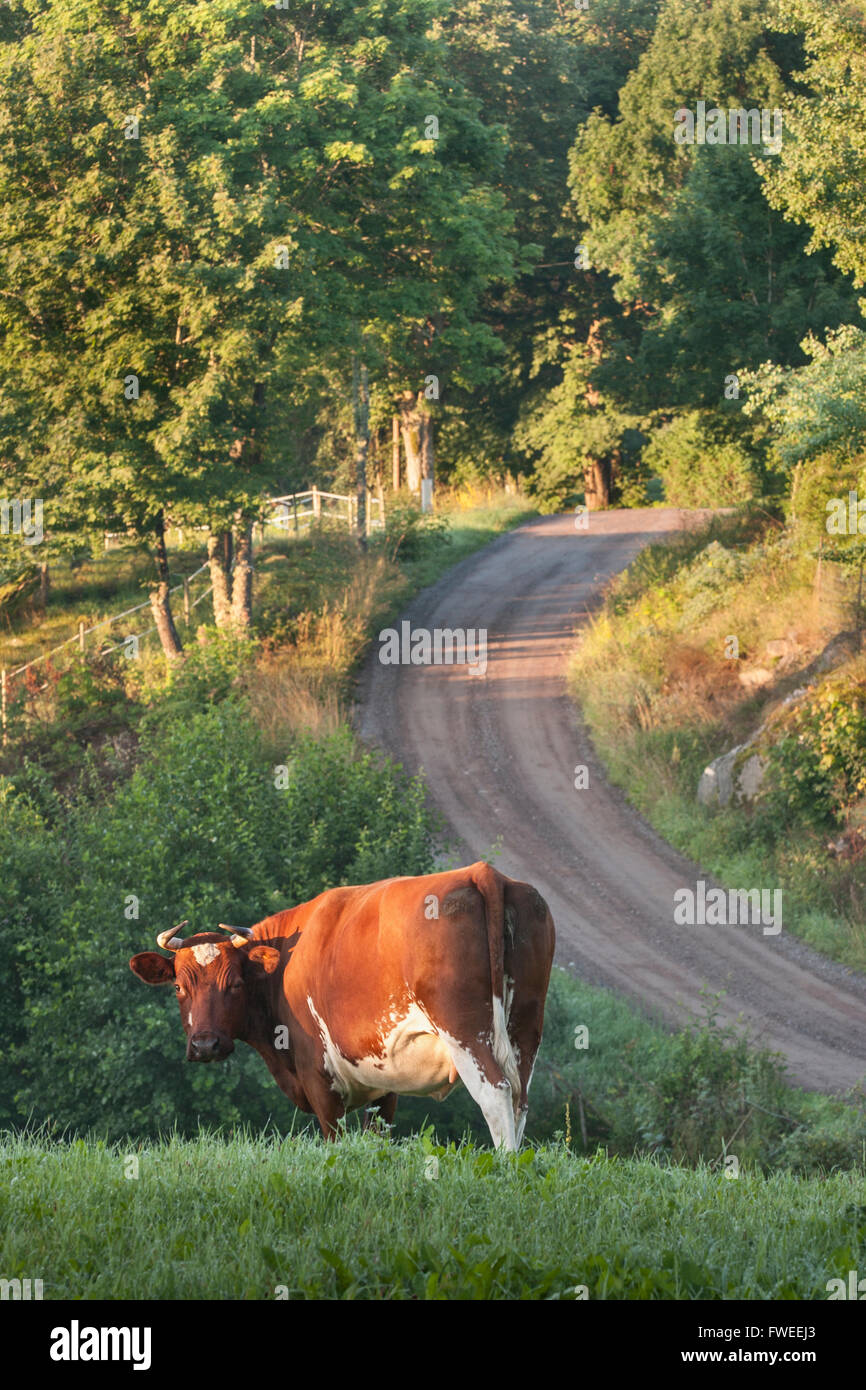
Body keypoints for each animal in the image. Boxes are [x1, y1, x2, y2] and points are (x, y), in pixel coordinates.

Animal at [129, 861, 555, 1150]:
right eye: (179, 986)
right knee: (520, 1100)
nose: (205, 1045)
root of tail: (482, 872)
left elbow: (334, 1139)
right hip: (526, 1028)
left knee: (496, 1093)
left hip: (465, 1029)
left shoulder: (319, 1077)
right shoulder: (384, 1079)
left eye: (234, 984)